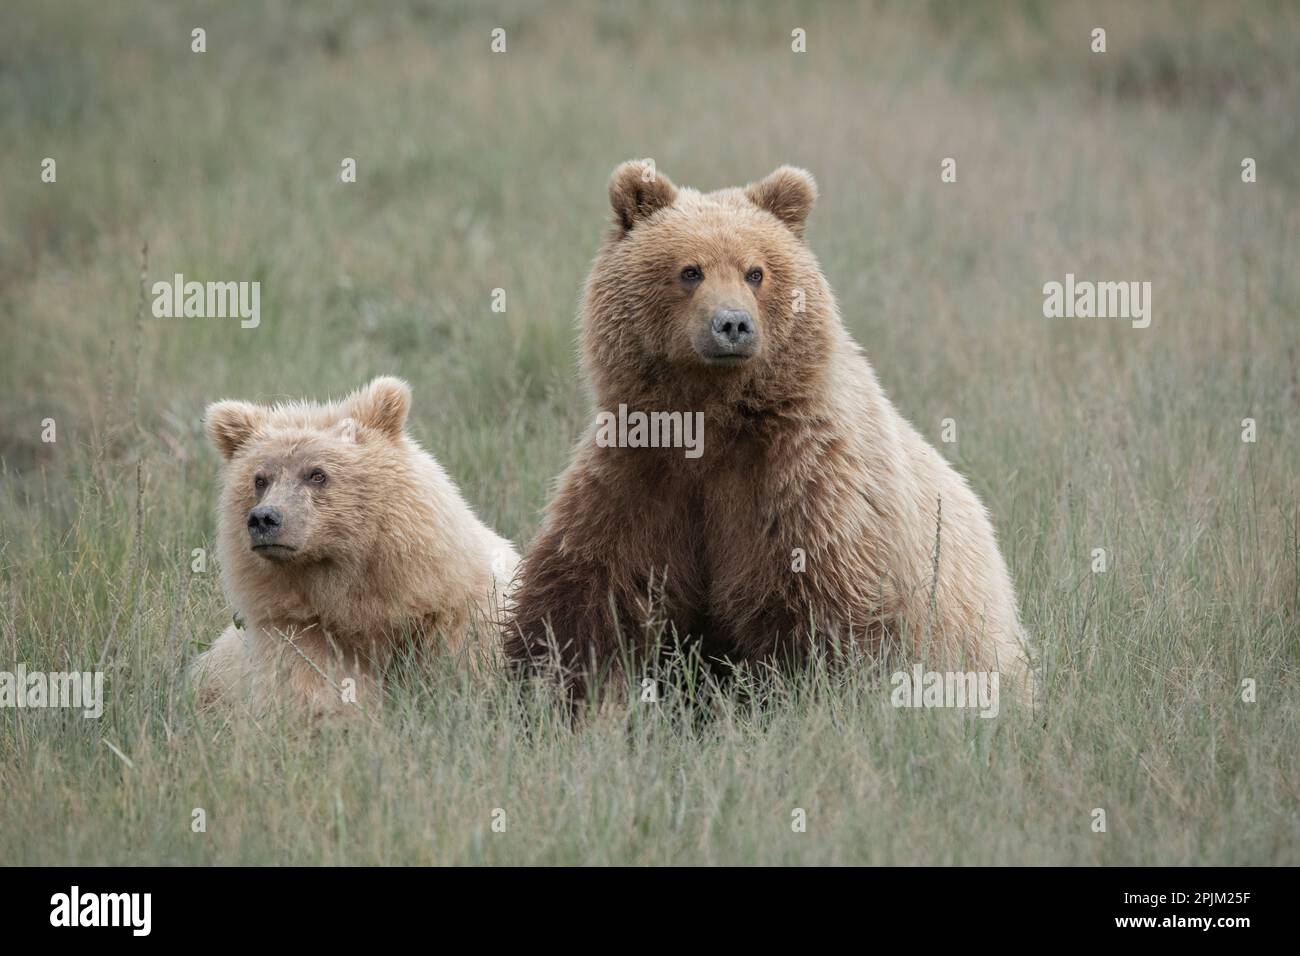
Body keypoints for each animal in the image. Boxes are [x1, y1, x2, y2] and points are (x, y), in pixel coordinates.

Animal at [192, 376, 518, 717]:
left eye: (317, 474)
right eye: (260, 479)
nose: (264, 518)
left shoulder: (460, 615)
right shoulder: (301, 629)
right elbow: (310, 686)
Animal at [504, 161, 1034, 705]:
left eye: (755, 272)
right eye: (690, 271)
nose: (733, 324)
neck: (709, 423)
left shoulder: (804, 484)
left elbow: (820, 609)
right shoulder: (639, 472)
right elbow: (588, 592)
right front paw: (547, 686)